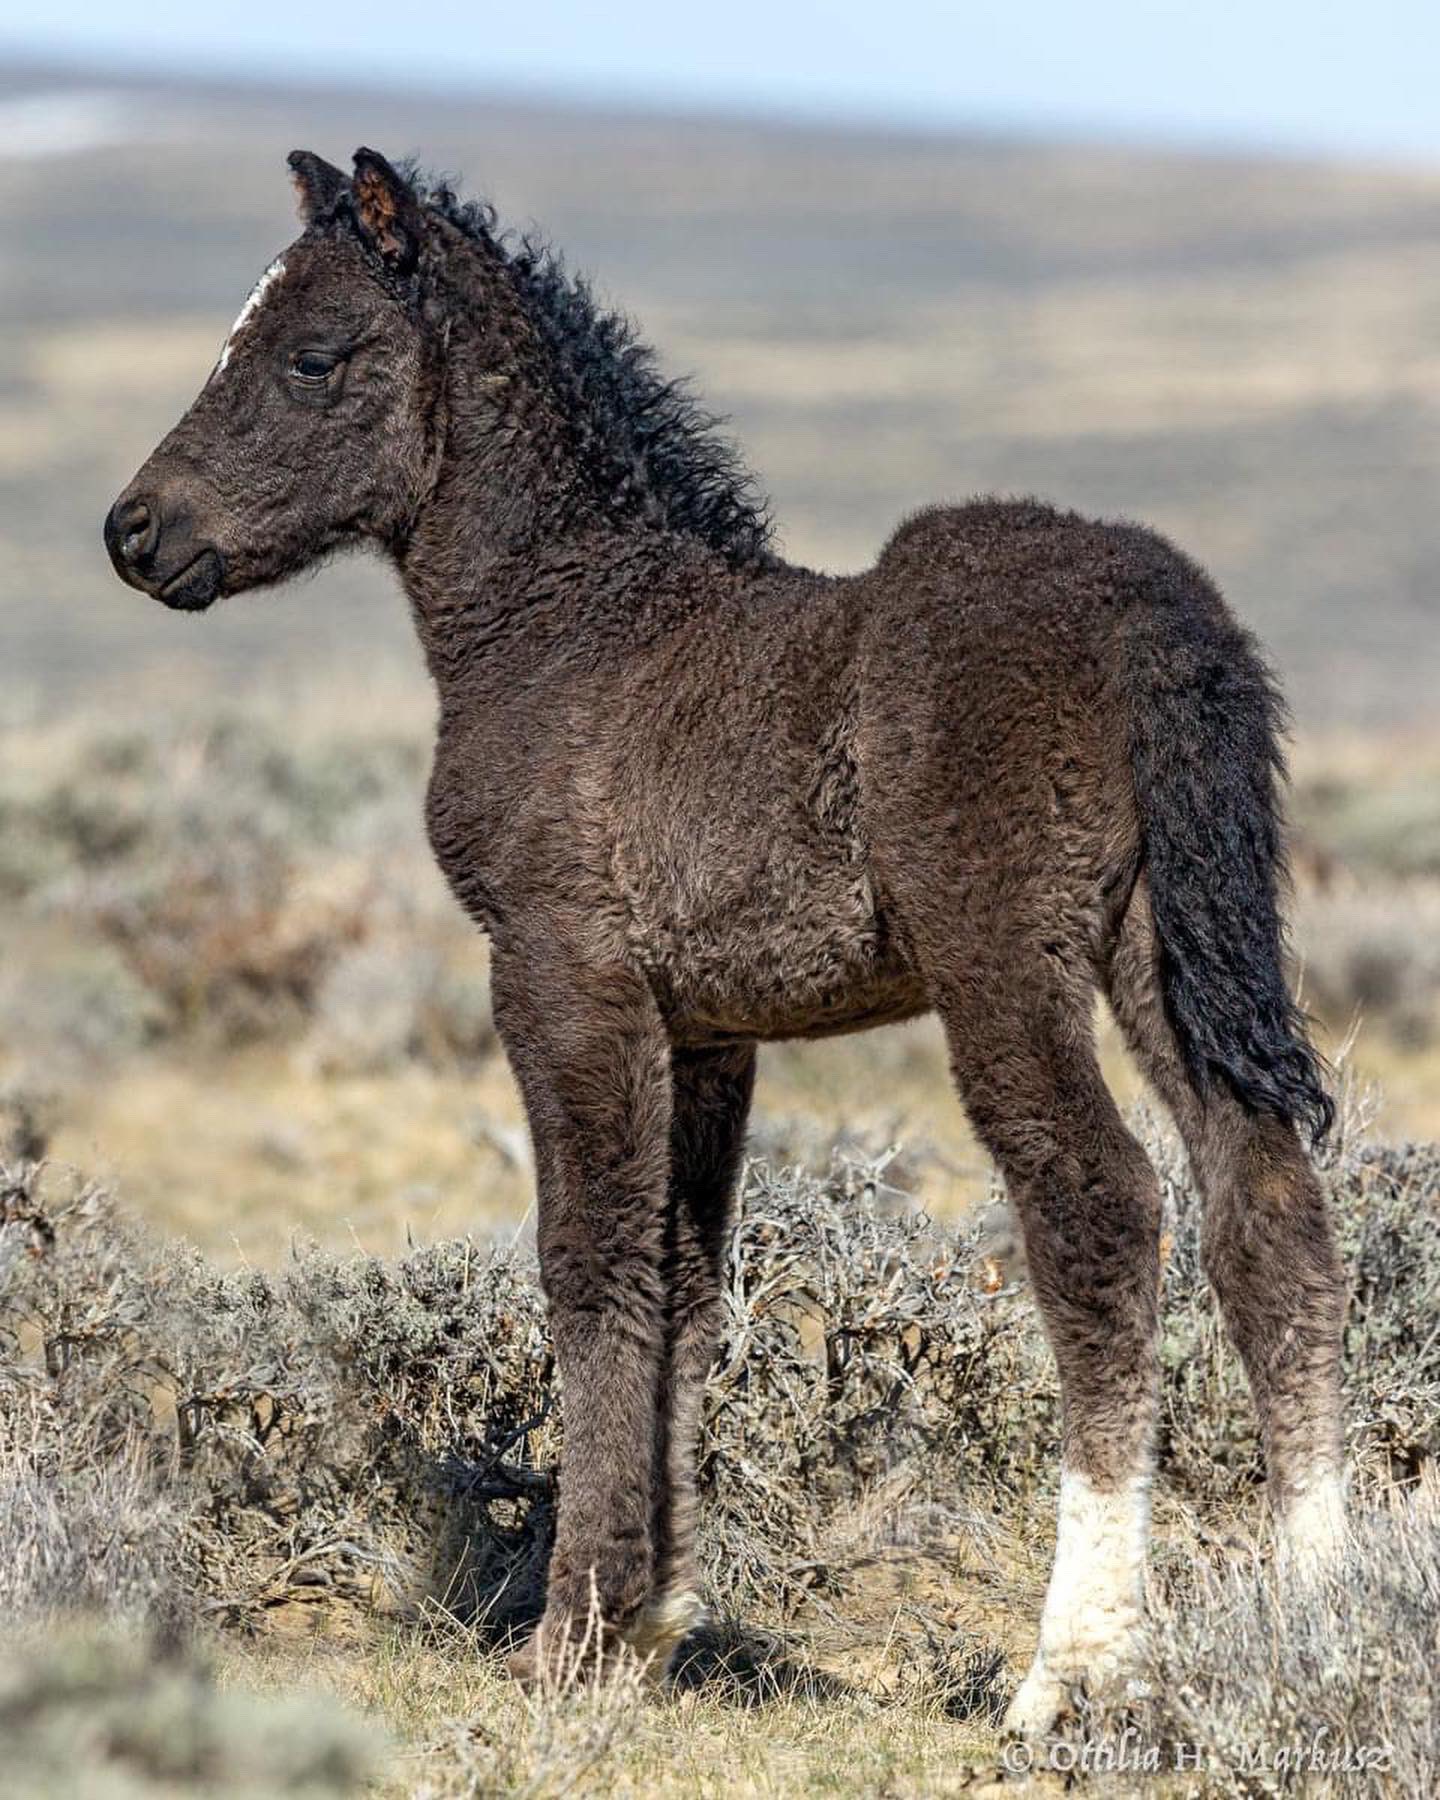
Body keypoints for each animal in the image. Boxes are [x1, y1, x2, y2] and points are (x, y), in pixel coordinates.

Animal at [104, 147, 1347, 1736]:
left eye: (312, 355)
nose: (135, 533)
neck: (566, 628)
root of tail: (1154, 612)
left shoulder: (559, 975)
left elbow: (587, 1262)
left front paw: (572, 1633)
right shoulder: (708, 1026)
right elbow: (688, 1277)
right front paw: (655, 1620)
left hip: (1005, 965)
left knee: (1105, 1208)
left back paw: (1074, 1669)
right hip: (1163, 953)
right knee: (1268, 1202)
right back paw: (1326, 1618)